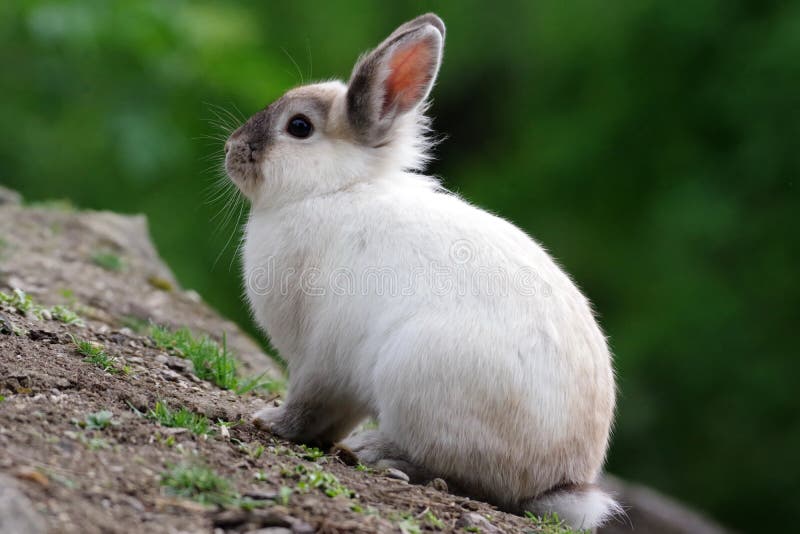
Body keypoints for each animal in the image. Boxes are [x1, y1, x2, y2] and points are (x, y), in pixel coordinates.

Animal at [224, 13, 619, 530]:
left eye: (299, 126)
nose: (232, 149)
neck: (333, 189)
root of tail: (558, 482)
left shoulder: (321, 360)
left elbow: (309, 405)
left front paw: (269, 421)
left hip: (413, 375)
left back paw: (375, 452)